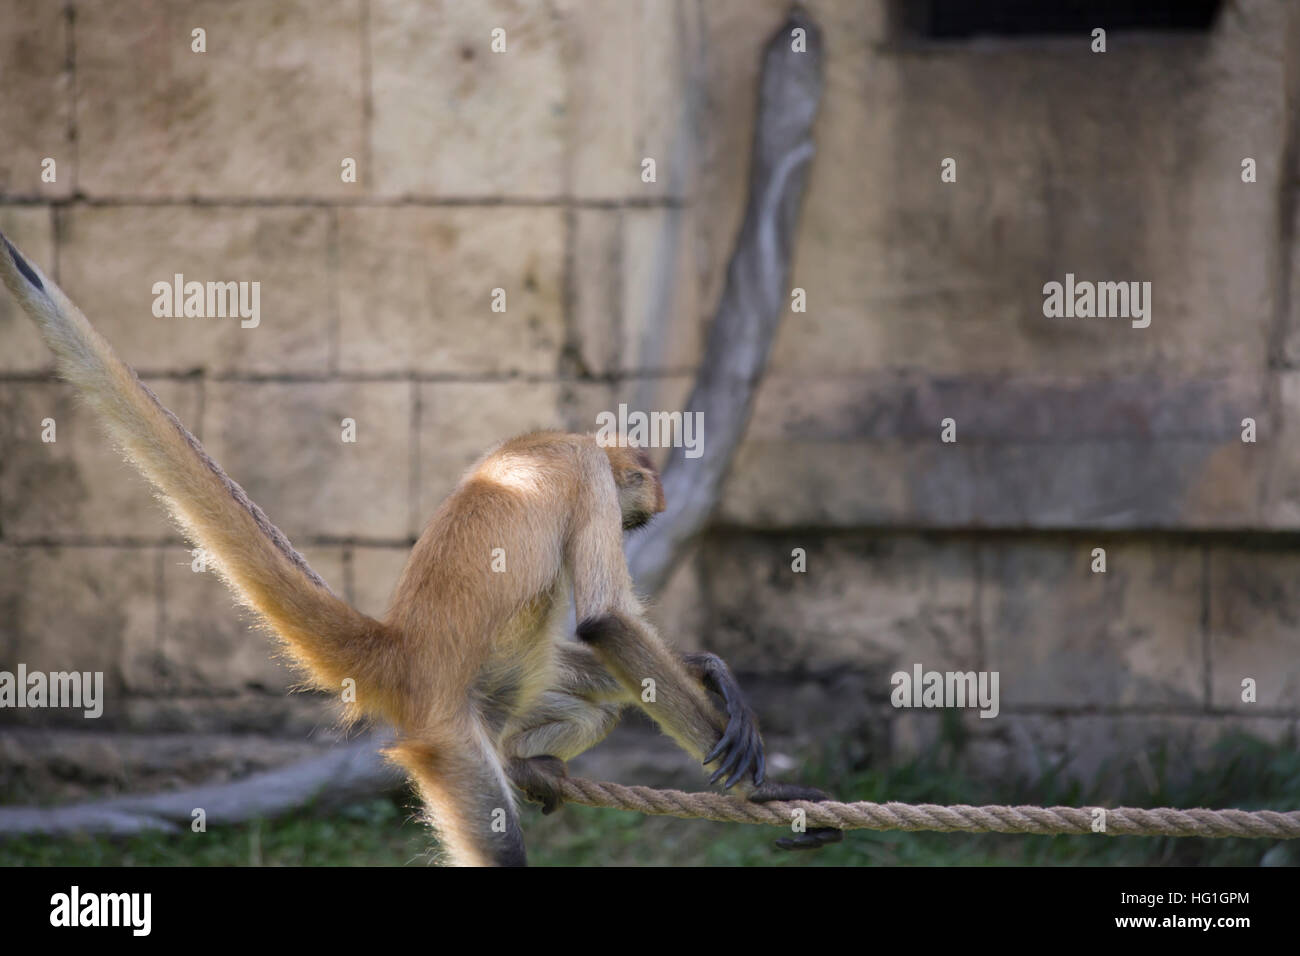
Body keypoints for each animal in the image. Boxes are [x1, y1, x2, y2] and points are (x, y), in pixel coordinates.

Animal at [0, 232, 840, 865]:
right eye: (642, 503)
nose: (650, 513)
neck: (548, 436)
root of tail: (399, 648)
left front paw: (714, 672)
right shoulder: (585, 473)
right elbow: (606, 619)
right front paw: (770, 793)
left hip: (494, 705)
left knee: (594, 700)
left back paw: (531, 761)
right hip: (450, 740)